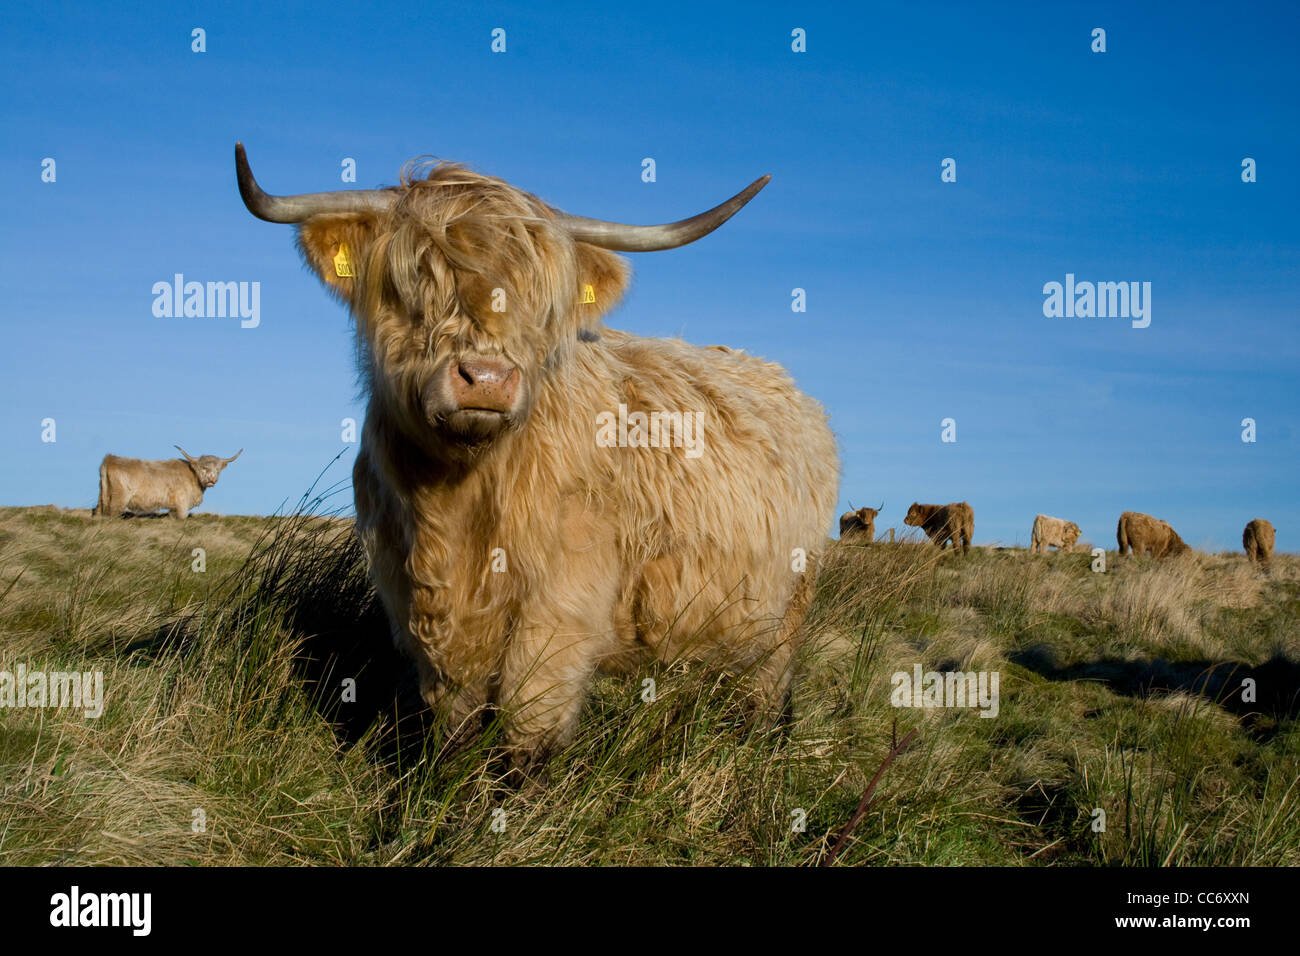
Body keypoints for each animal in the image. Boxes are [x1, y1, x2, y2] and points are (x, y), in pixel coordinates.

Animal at [95, 447, 242, 519]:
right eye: (203, 468)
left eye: (217, 469)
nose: (211, 479)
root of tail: (110, 459)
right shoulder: (182, 503)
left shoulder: (174, 507)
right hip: (119, 498)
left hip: (103, 495)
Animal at [235, 143, 838, 776]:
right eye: (412, 281)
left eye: (538, 300)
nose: (486, 378)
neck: (457, 503)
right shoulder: (417, 605)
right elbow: (455, 727)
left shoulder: (559, 614)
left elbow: (526, 734)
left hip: (787, 612)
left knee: (767, 692)